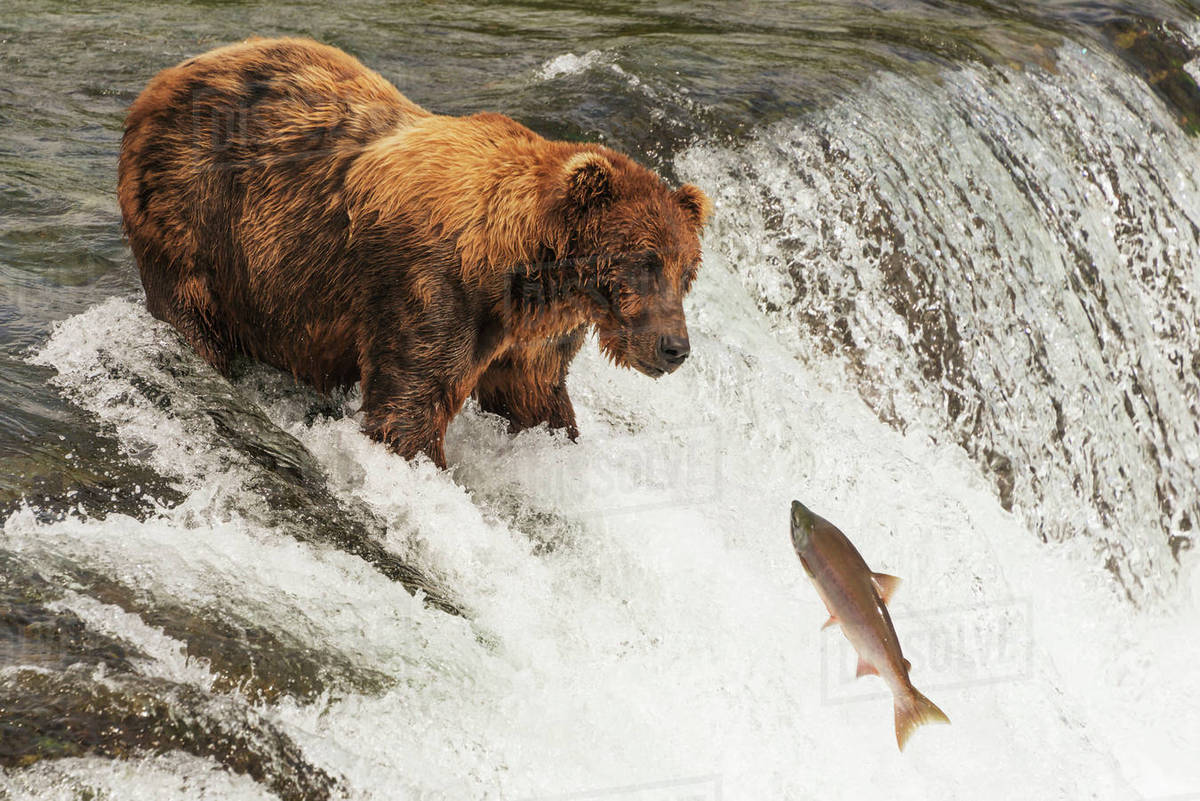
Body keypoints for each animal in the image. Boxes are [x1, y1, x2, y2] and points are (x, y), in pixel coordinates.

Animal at [118, 37, 711, 469]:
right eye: (645, 261)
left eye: (686, 272)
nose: (674, 347)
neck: (521, 271)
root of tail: (157, 84)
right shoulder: (429, 292)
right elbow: (410, 408)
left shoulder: (530, 339)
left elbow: (536, 401)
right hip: (197, 221)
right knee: (193, 317)